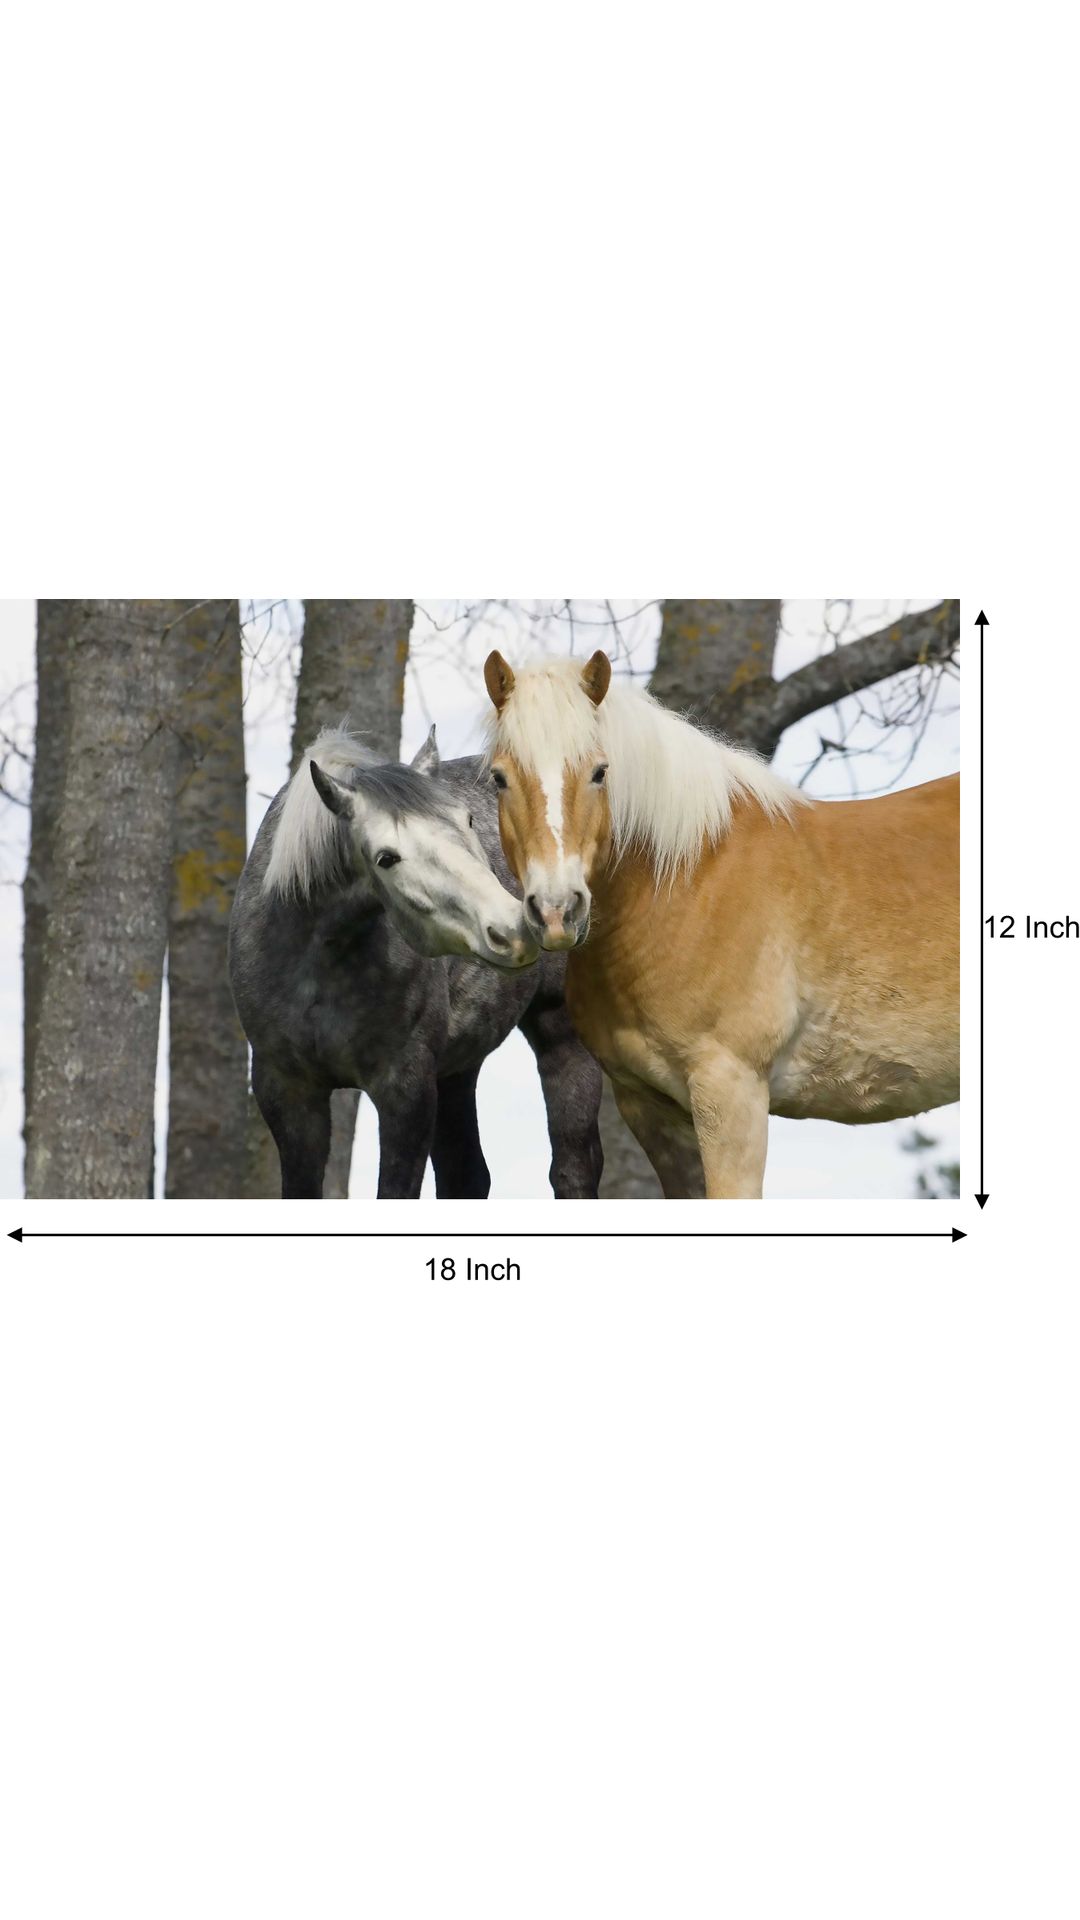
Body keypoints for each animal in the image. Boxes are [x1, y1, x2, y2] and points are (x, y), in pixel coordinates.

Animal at [228, 727, 603, 1199]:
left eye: (468, 821)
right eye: (386, 858)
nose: (514, 929)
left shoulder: (405, 1089)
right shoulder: (287, 1092)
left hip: (562, 1037)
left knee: (573, 1169)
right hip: (458, 1067)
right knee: (466, 1173)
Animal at [480, 648, 960, 1199]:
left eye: (600, 772)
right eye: (499, 778)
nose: (557, 909)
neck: (690, 882)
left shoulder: (730, 1091)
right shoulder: (650, 1108)